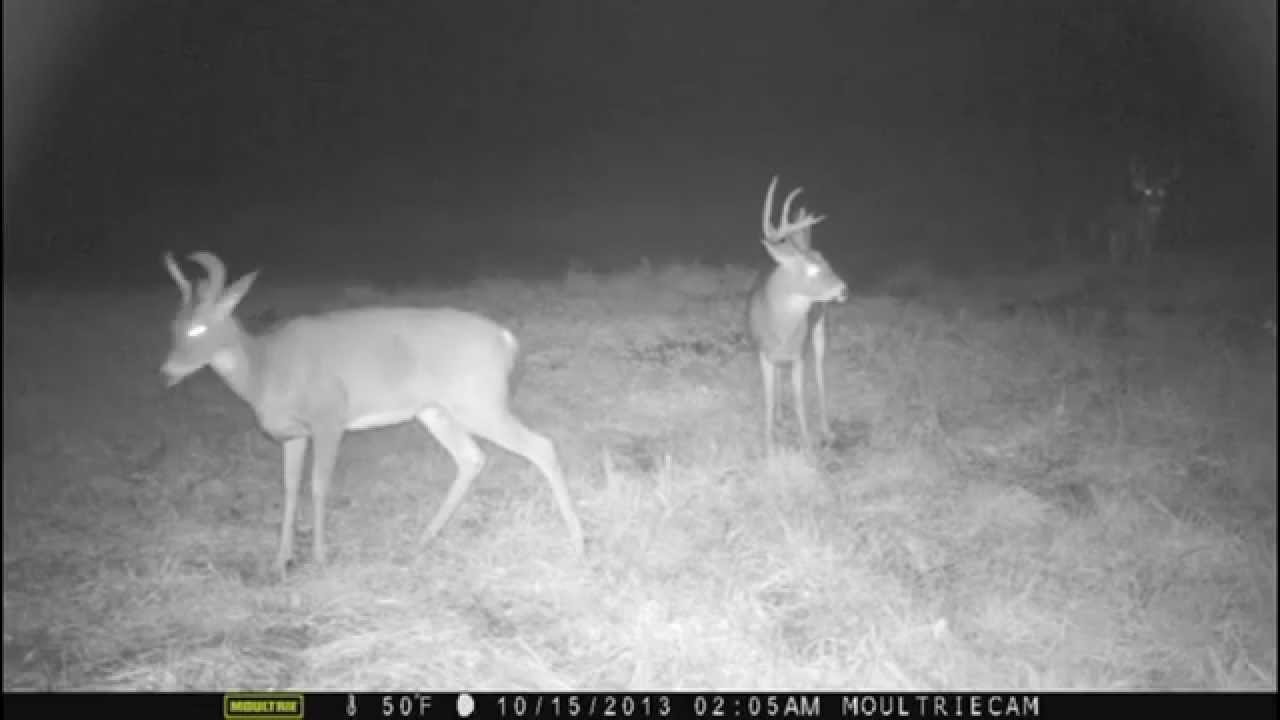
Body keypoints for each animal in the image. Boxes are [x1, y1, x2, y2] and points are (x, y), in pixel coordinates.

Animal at [160, 251, 585, 577]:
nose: (166, 372)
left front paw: (320, 557)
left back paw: (578, 538)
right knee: (471, 457)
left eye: (198, 328)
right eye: (174, 325)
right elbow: (289, 488)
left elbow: (319, 484)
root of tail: (505, 338)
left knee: (541, 445)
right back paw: (423, 539)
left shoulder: (329, 418)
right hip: (437, 410)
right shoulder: (293, 434)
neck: (267, 368)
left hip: (480, 402)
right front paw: (280, 560)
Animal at [746, 176, 848, 458]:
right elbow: (769, 399)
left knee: (820, 374)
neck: (780, 326)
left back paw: (826, 429)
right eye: (812, 269)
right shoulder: (763, 352)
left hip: (820, 327)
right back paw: (782, 417)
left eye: (827, 260)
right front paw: (769, 445)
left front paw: (807, 445)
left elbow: (800, 398)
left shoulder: (798, 353)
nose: (844, 289)